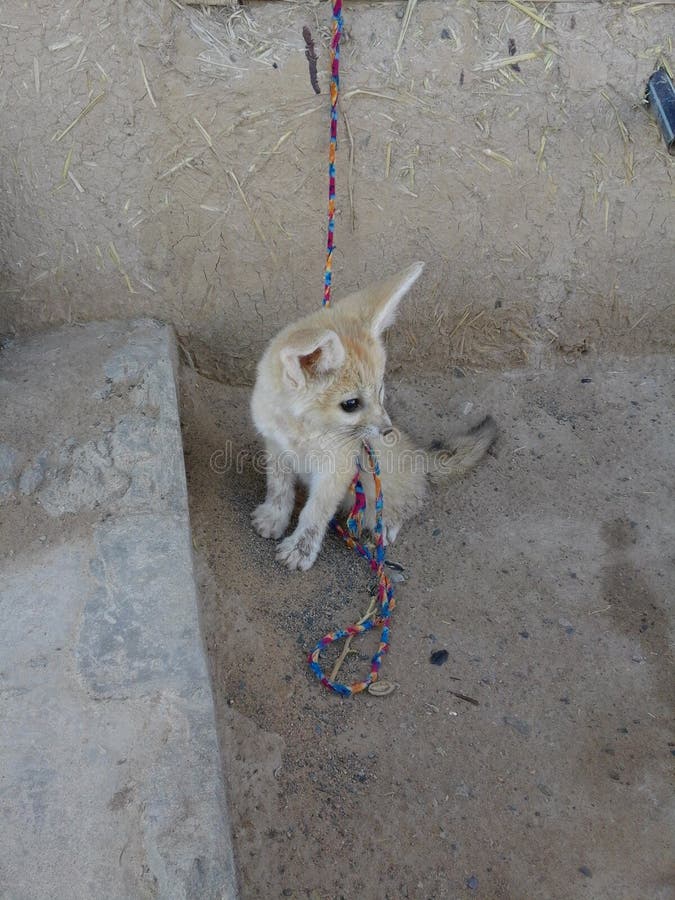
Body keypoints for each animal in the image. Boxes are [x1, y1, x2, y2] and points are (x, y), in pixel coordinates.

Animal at [250, 262, 496, 571]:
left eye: (380, 391)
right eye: (351, 404)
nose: (388, 431)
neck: (300, 431)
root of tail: (419, 456)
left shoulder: (337, 468)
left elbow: (314, 513)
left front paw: (301, 549)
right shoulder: (276, 448)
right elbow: (279, 489)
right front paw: (274, 518)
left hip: (375, 494)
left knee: (403, 506)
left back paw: (384, 527)